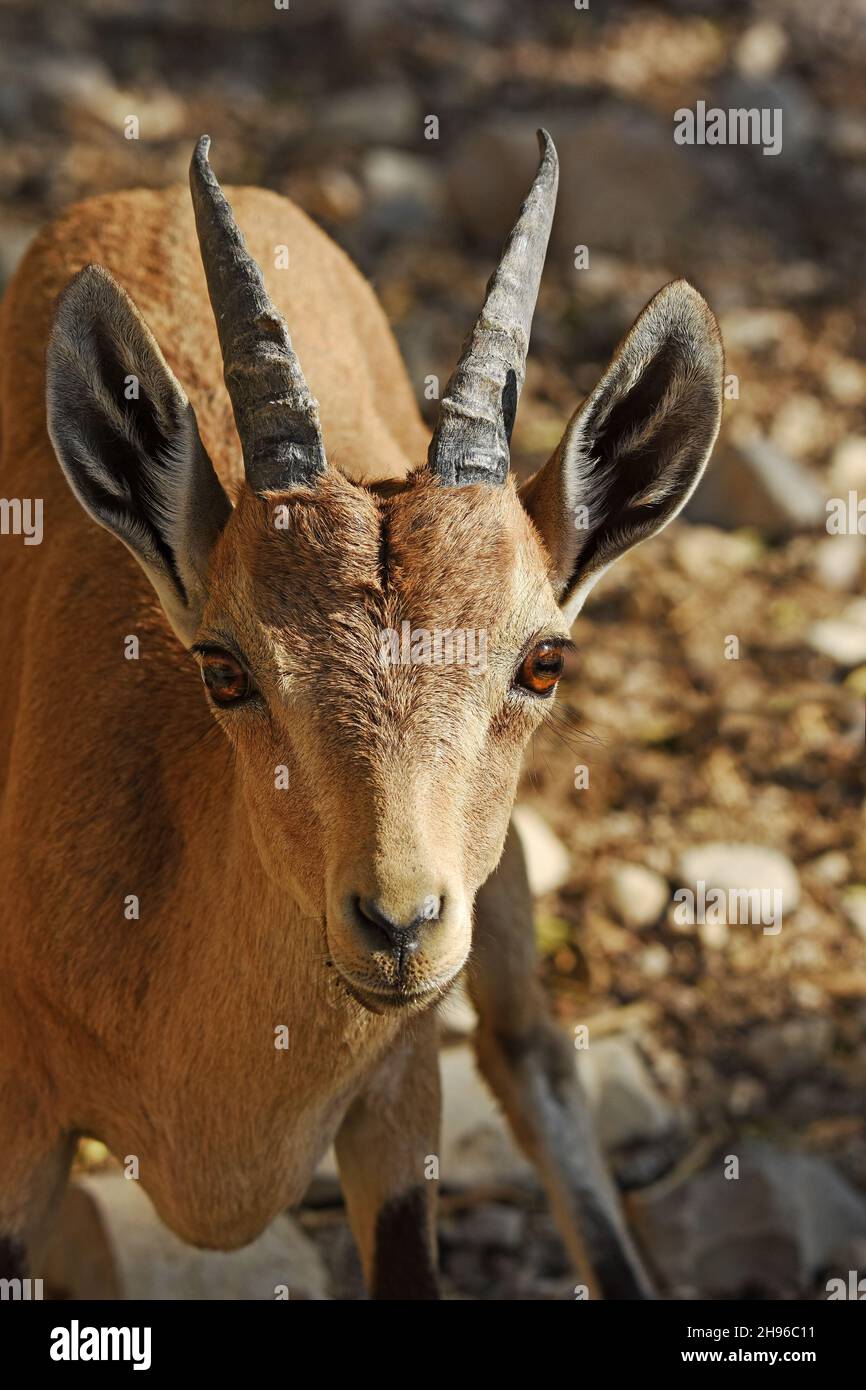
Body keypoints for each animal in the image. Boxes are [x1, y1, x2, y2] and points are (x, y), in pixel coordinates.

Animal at [0, 131, 722, 1299]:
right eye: (224, 668)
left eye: (543, 661)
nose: (397, 927)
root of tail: (148, 199)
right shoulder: (20, 1128)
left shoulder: (397, 1110)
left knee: (529, 1058)